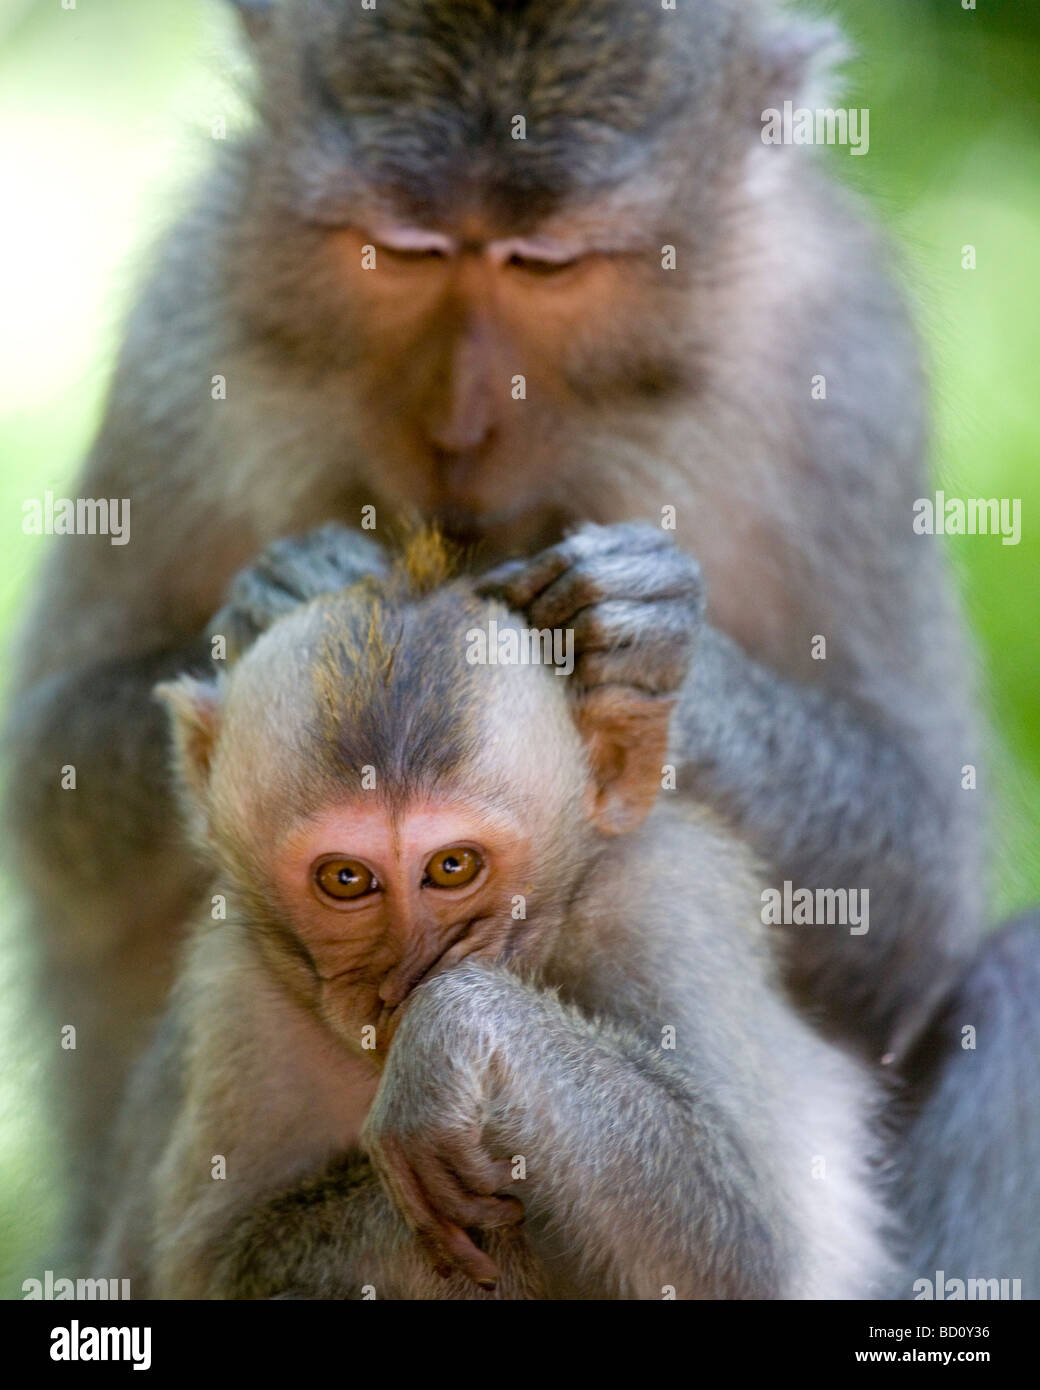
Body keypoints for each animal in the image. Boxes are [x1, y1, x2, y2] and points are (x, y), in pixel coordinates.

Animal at [93, 531, 891, 1300]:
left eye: (453, 866)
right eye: (347, 879)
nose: (406, 981)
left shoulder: (663, 899)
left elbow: (744, 1248)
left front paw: (449, 1034)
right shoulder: (237, 996)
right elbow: (210, 1264)